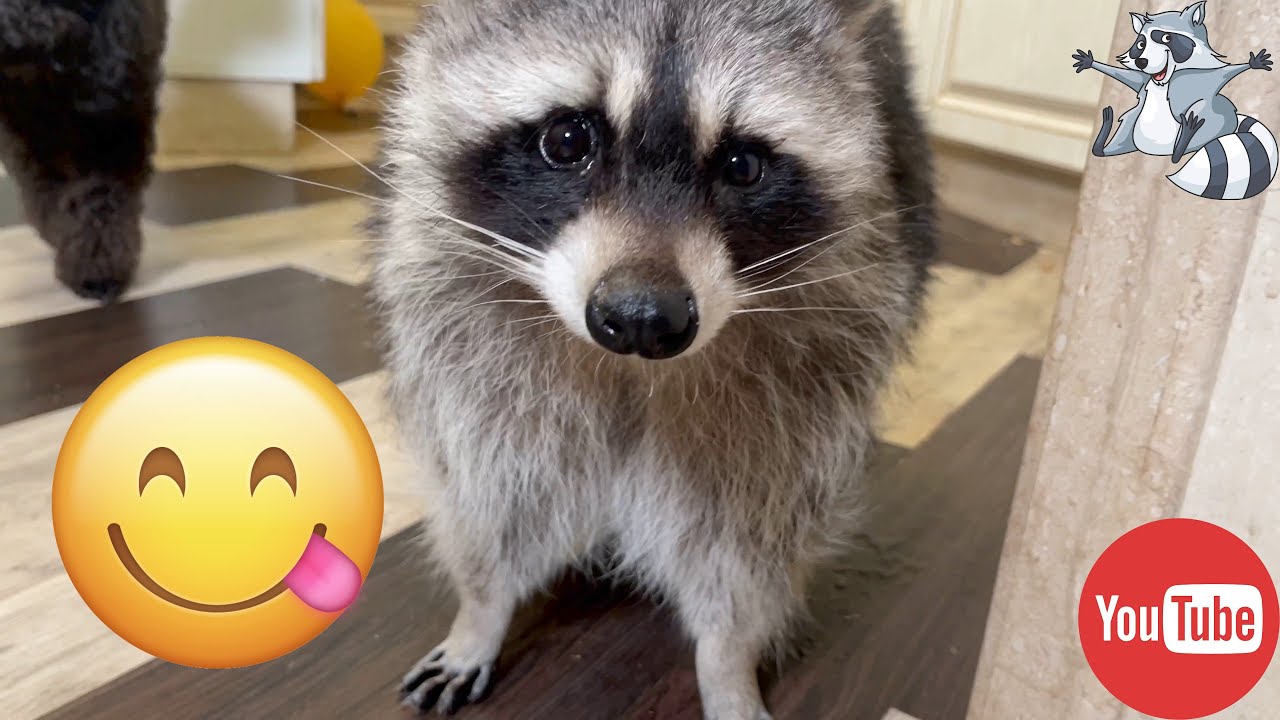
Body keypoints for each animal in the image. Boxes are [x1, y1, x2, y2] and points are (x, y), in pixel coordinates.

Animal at [371, 0, 935, 717]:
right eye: (567, 140)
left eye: (743, 166)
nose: (642, 318)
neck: (632, 371)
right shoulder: (466, 331)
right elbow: (494, 487)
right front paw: (481, 610)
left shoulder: (805, 378)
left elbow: (747, 536)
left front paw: (728, 661)